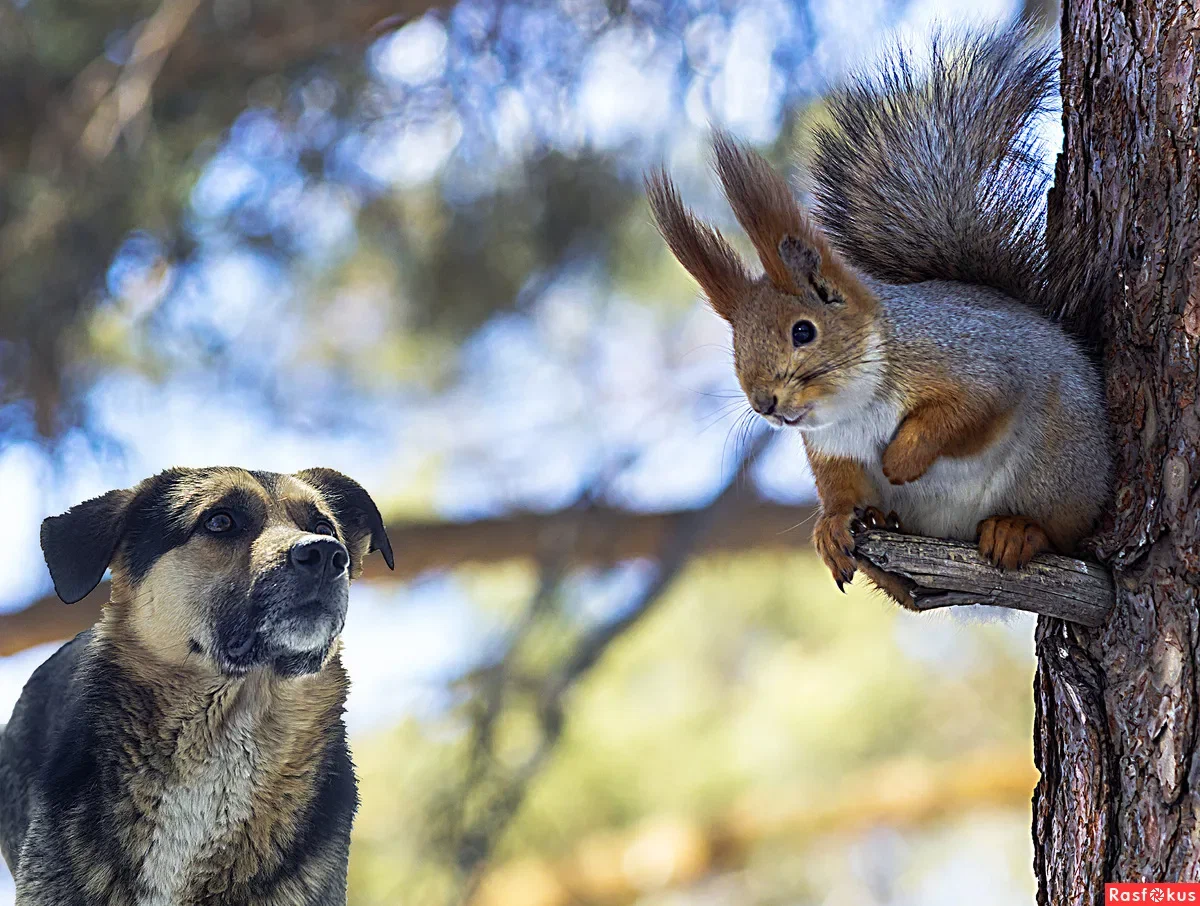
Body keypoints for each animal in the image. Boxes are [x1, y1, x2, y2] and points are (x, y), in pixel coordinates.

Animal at [648, 28, 1113, 609]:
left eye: (803, 331)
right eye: (735, 352)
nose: (765, 405)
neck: (856, 404)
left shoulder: (979, 363)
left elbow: (965, 412)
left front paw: (900, 461)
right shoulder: (831, 449)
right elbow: (839, 489)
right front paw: (834, 525)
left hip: (1059, 464)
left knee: (1062, 531)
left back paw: (1016, 530)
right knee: (912, 593)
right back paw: (885, 536)